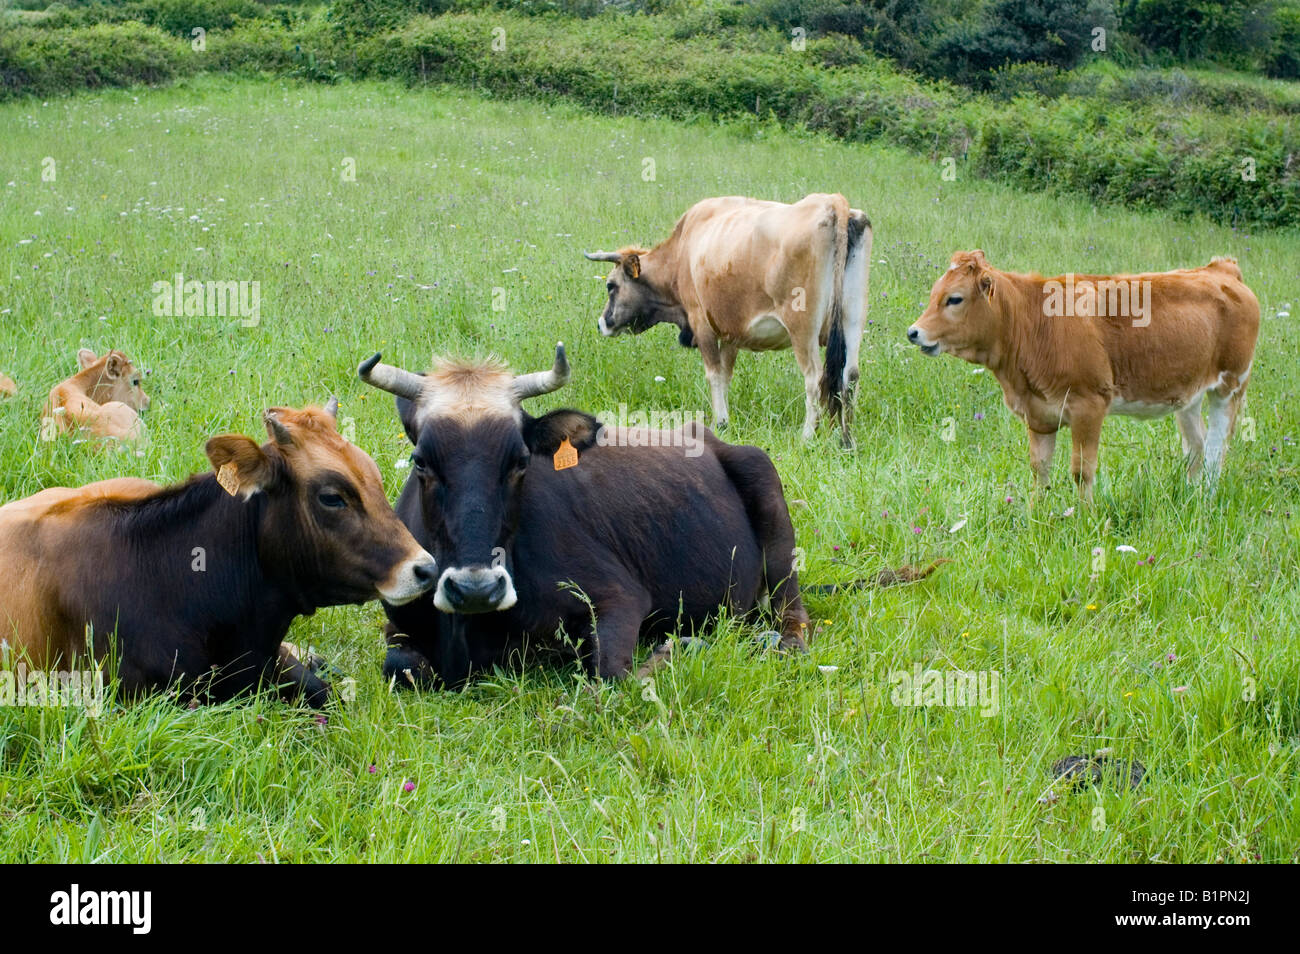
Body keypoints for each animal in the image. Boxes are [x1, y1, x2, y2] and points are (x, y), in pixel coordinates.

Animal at [357, 344, 811, 689]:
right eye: (421, 462)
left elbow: (611, 676)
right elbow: (399, 666)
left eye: (521, 461)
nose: (475, 590)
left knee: (793, 616)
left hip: (772, 513)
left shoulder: (620, 597)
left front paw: (681, 645)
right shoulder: (398, 625)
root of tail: (704, 435)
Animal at [584, 193, 872, 444]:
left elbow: (714, 374)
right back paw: (846, 439)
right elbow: (725, 373)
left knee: (814, 378)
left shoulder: (701, 323)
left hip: (802, 329)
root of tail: (830, 202)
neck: (683, 249)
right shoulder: (732, 333)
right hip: (853, 320)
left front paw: (719, 422)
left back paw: (807, 436)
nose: (601, 323)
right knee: (849, 375)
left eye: (610, 285)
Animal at [907, 251, 1260, 499]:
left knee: (1215, 449)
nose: (913, 332)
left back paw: (1206, 499)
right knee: (1196, 446)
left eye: (954, 298)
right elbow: (1040, 470)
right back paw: (1188, 495)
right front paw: (1037, 514)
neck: (1034, 323)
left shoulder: (1089, 405)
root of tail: (1220, 268)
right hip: (1188, 396)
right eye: (934, 294)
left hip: (1230, 387)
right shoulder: (1039, 412)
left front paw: (1084, 518)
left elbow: (1082, 471)